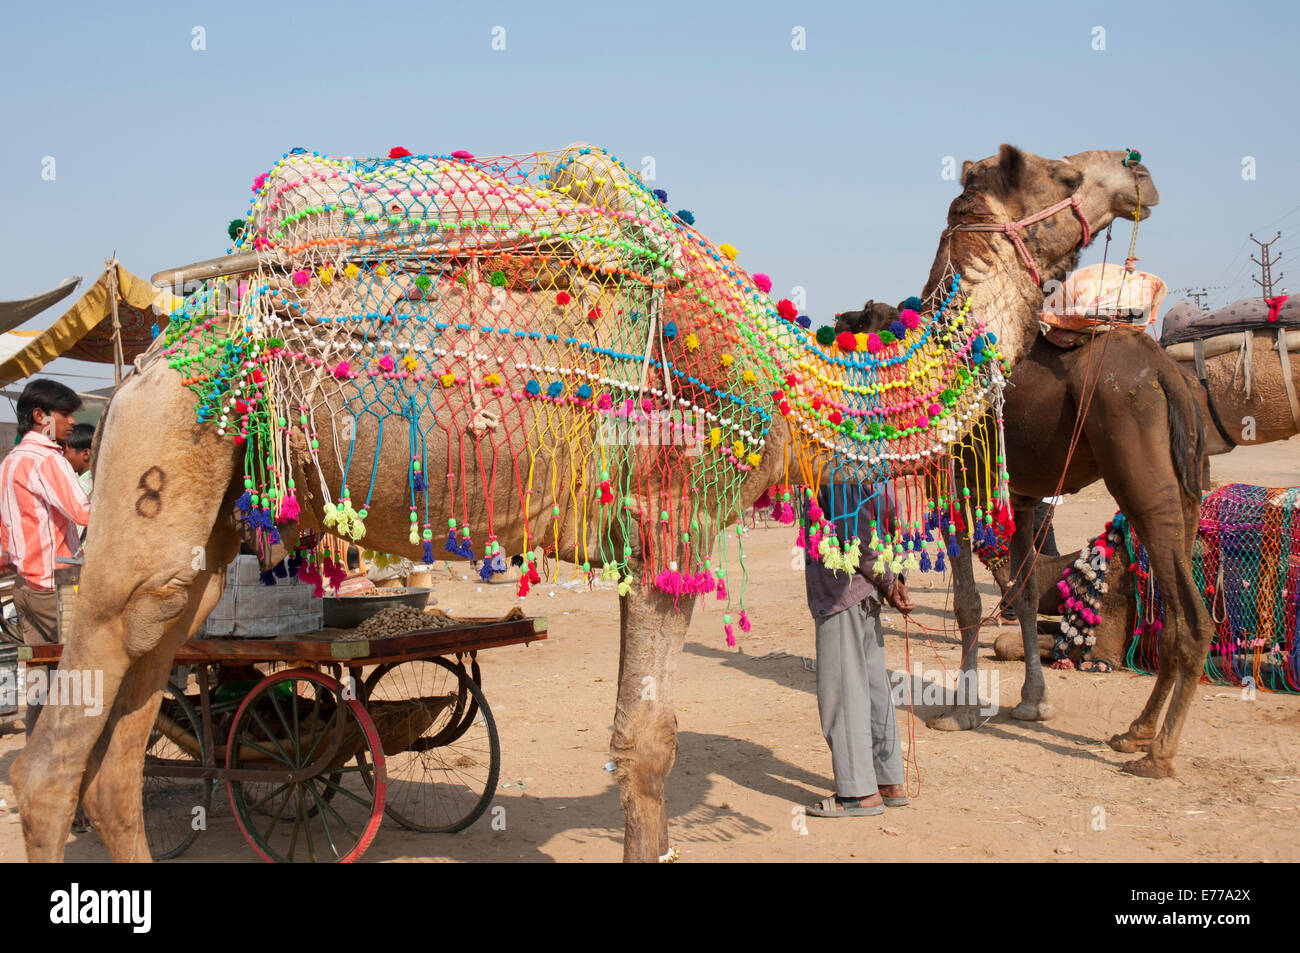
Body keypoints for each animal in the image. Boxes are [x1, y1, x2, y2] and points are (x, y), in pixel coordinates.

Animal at [12, 143, 1151, 862]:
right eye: (1057, 169)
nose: (1137, 165)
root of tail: (148, 364)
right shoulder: (668, 528)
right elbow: (648, 743)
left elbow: (640, 736)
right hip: (151, 487)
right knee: (50, 762)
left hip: (199, 544)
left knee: (124, 743)